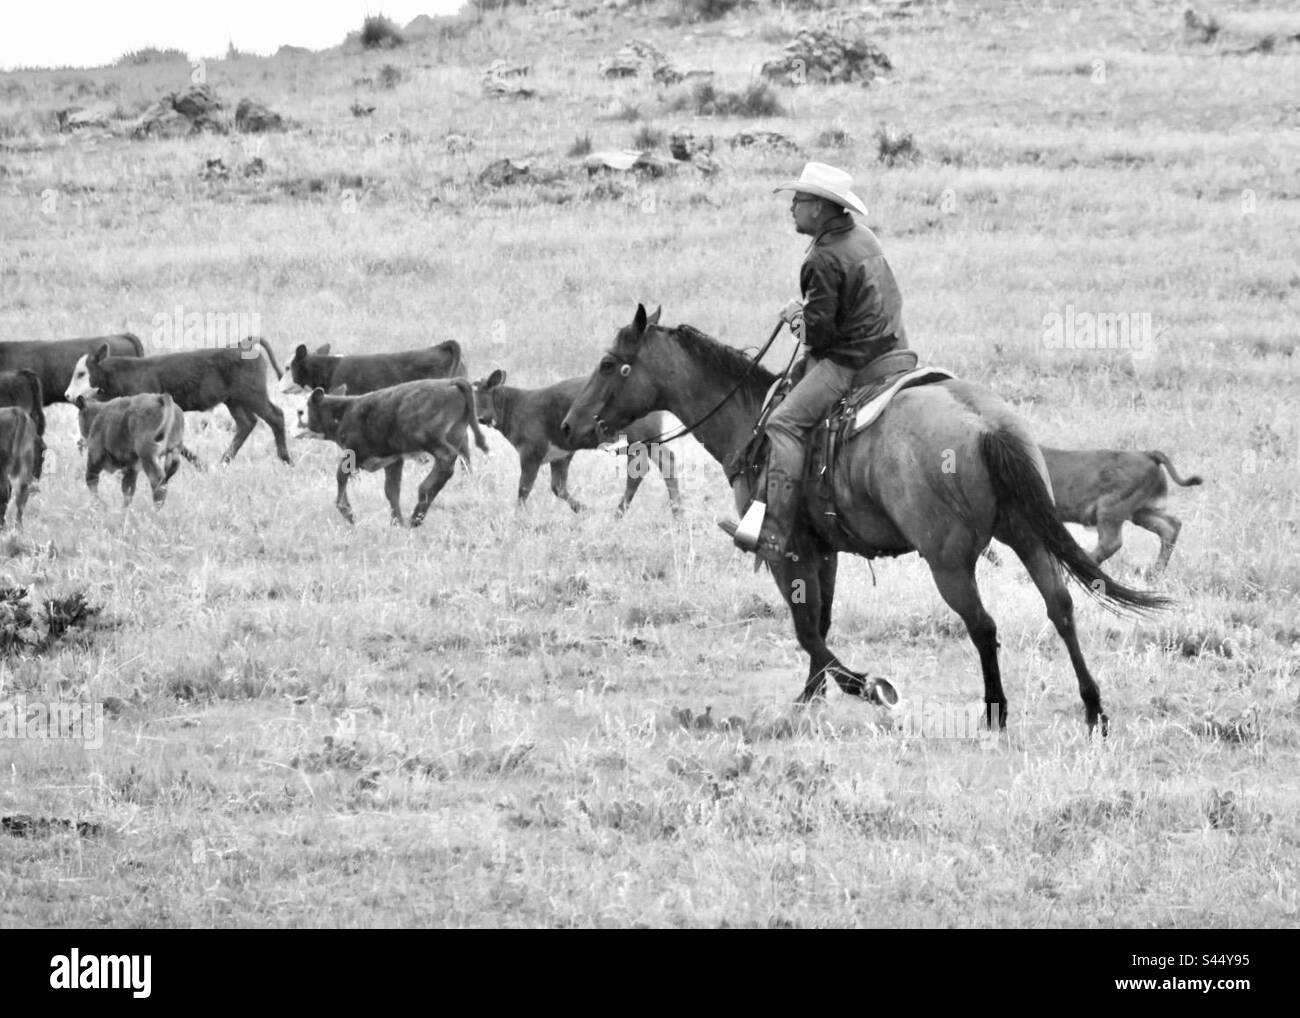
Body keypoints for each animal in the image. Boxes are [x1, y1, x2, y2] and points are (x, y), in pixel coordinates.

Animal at [65, 340, 290, 465]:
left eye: (81, 373)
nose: (67, 395)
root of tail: (242, 344)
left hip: (253, 395)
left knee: (276, 416)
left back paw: (286, 460)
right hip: (234, 400)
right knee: (246, 423)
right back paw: (224, 461)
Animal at [300, 378, 488, 527]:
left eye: (302, 410)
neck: (343, 411)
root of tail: (449, 382)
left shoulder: (354, 454)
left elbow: (340, 477)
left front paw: (348, 512)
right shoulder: (393, 460)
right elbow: (392, 491)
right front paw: (397, 522)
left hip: (425, 437)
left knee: (446, 458)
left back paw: (421, 500)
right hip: (457, 436)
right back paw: (418, 513)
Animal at [473, 369, 682, 516]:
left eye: (483, 393)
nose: (480, 418)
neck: (514, 407)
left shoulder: (532, 449)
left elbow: (524, 488)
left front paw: (518, 516)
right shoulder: (561, 453)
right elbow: (558, 488)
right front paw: (584, 510)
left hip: (634, 437)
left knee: (637, 472)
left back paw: (618, 513)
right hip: (651, 438)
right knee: (667, 461)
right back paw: (677, 512)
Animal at [1043, 447, 1204, 575]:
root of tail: (1148, 454)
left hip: (1109, 510)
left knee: (1111, 543)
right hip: (1141, 513)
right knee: (1171, 526)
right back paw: (1153, 575)